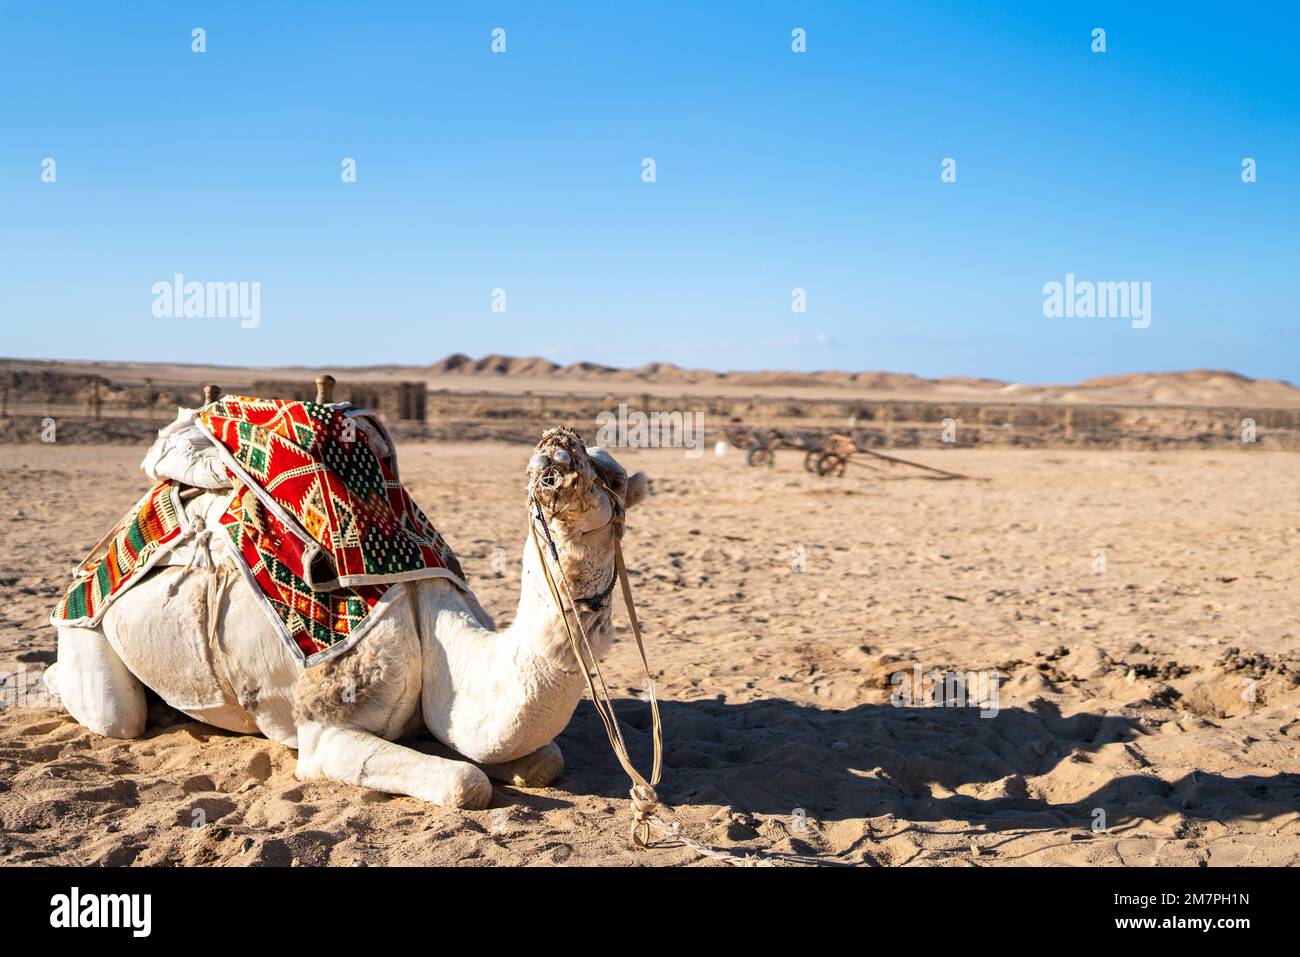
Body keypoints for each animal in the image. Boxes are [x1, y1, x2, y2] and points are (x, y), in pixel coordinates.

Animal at [44, 418, 649, 809]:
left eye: (616, 480)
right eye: (543, 472)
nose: (559, 451)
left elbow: (543, 761)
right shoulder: (324, 731)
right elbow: (465, 783)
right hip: (85, 624)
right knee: (114, 714)